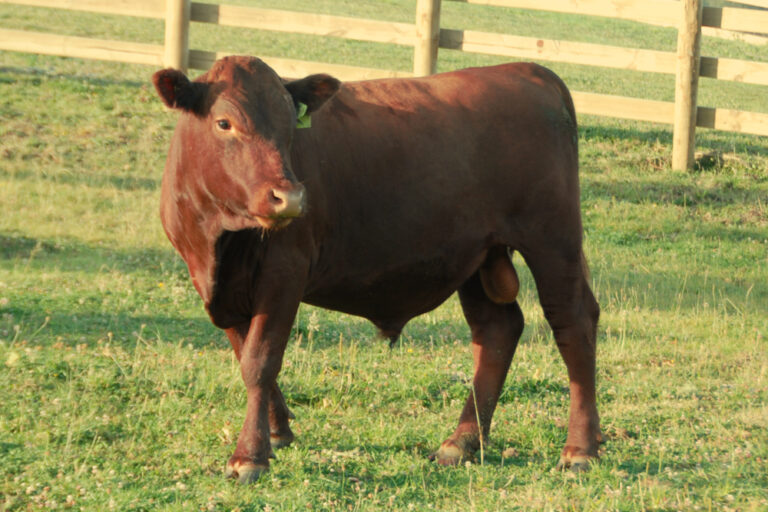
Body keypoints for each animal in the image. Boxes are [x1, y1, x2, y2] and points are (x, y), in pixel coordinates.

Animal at [152, 55, 602, 484]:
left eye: (289, 126)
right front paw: (277, 431)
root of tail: (528, 71)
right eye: (223, 122)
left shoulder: (284, 273)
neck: (218, 238)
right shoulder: (214, 286)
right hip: (480, 256)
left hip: (552, 240)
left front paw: (250, 456)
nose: (290, 197)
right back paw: (462, 441)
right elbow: (243, 351)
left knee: (572, 322)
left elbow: (260, 360)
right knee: (496, 331)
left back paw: (579, 449)